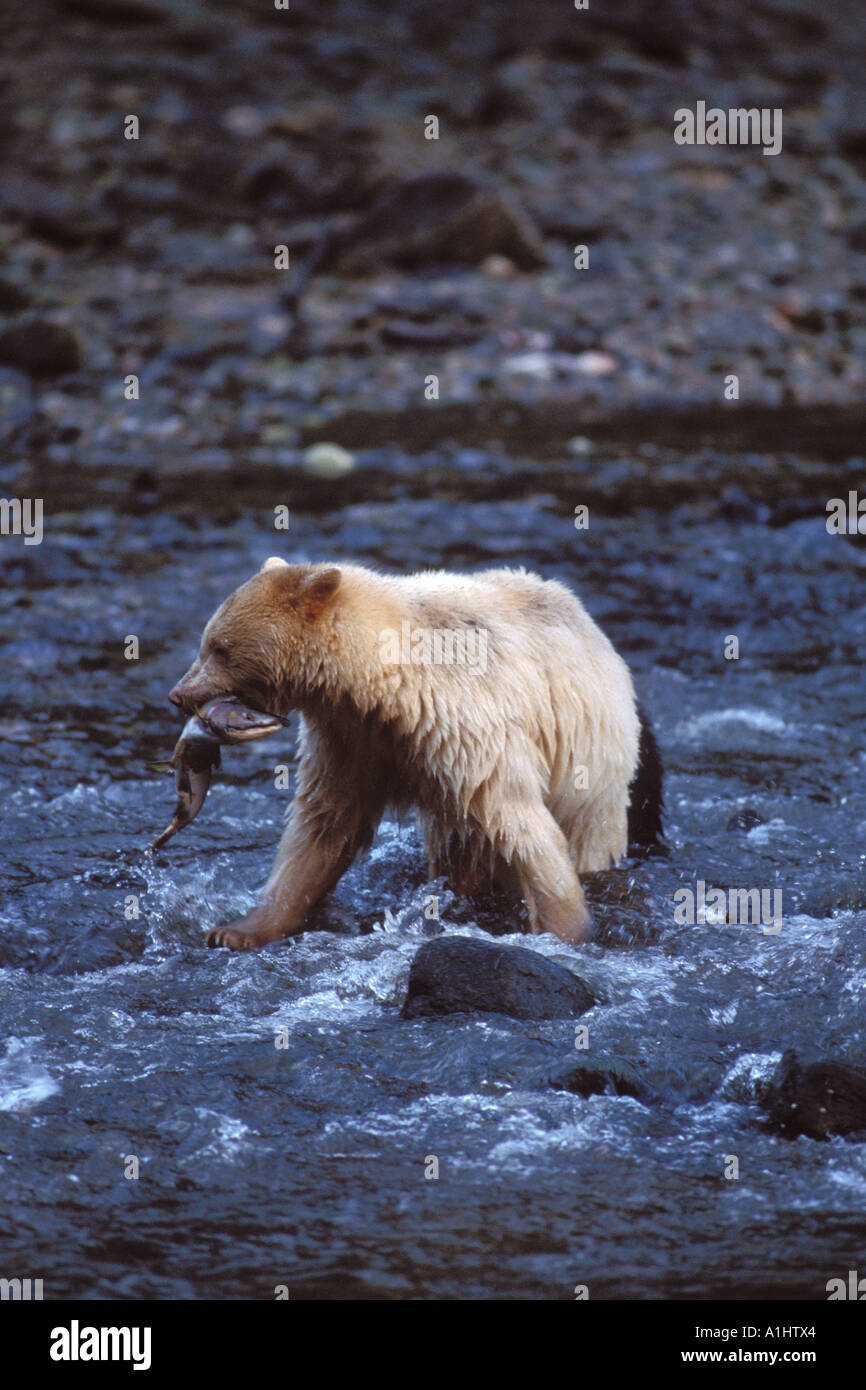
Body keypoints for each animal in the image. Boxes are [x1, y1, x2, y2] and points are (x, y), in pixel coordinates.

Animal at [167, 559, 663, 950]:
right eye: (208, 641)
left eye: (219, 648)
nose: (178, 694)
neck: (385, 687)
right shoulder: (354, 738)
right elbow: (322, 827)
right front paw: (236, 930)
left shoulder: (467, 728)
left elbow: (520, 824)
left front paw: (564, 932)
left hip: (594, 774)